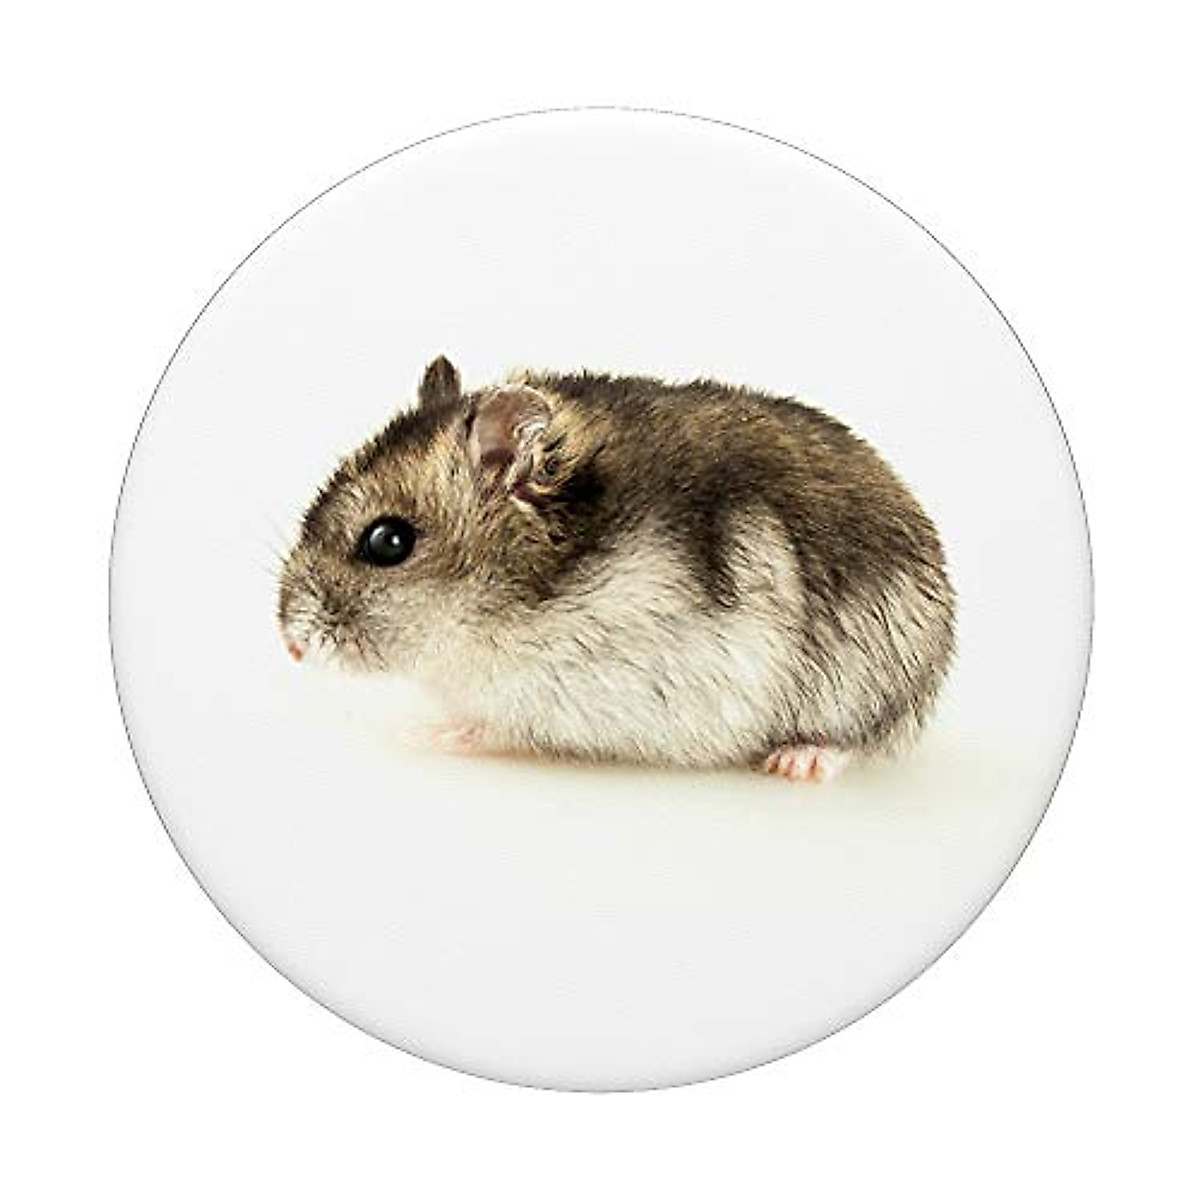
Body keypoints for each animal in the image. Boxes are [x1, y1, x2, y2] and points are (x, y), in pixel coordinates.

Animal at [277, 357, 955, 782]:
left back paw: (799, 763)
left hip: (870, 684)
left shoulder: (559, 693)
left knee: (860, 740)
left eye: (387, 541)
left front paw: (427, 736)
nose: (290, 645)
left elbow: (495, 724)